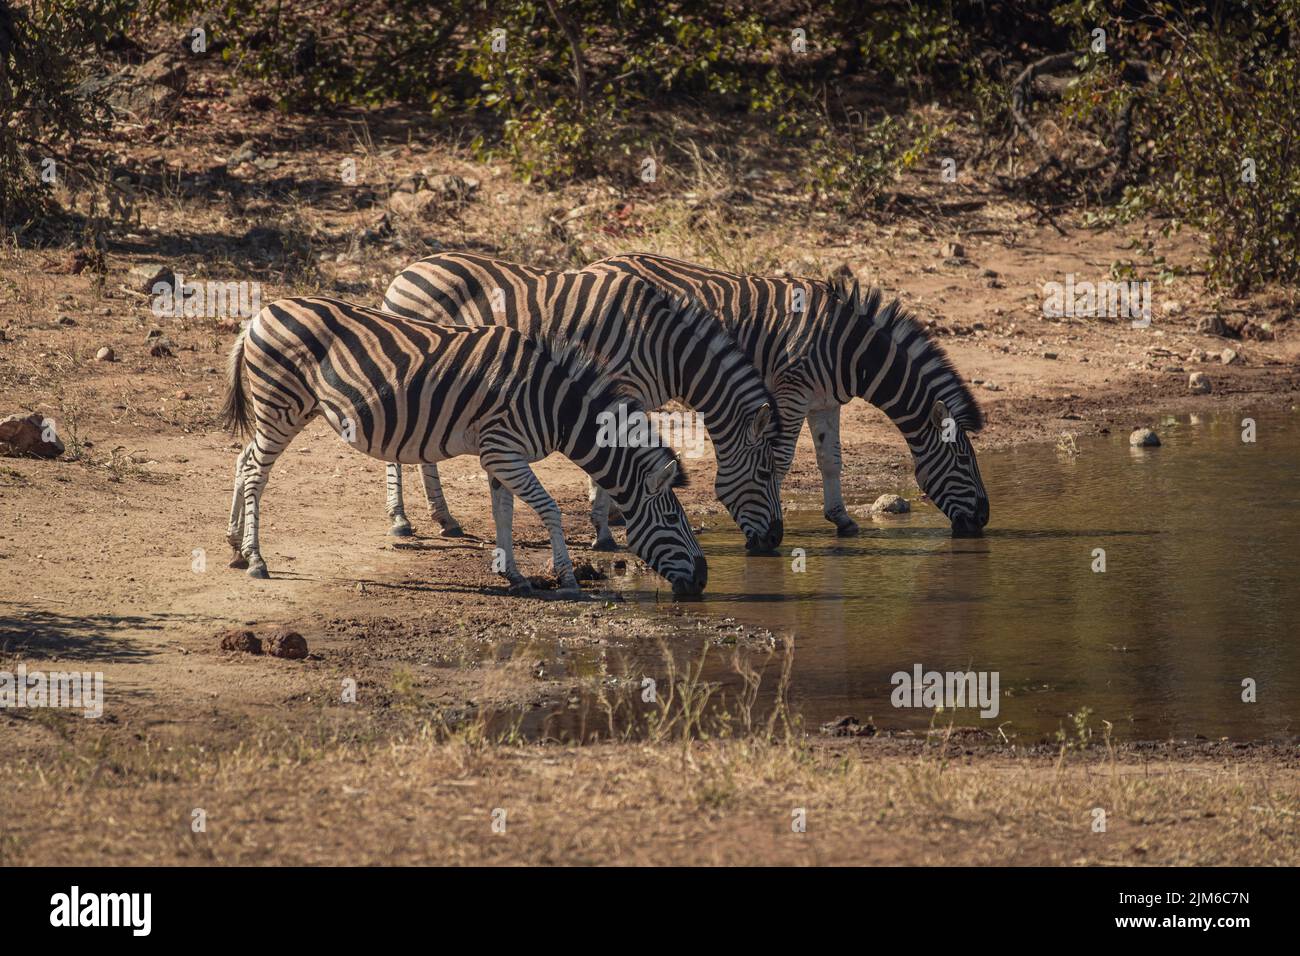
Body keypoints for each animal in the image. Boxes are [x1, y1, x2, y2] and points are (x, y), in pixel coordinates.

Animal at [219, 296, 709, 597]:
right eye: (673, 519)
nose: (703, 581)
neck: (553, 403)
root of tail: (261, 314)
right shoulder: (503, 450)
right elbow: (548, 510)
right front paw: (566, 577)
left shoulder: (498, 455)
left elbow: (503, 511)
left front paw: (514, 575)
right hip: (281, 405)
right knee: (256, 472)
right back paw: (258, 559)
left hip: (288, 410)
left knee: (244, 461)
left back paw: (235, 547)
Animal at [379, 253, 785, 553]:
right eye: (766, 474)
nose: (774, 541)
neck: (664, 347)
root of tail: (405, 271)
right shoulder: (620, 386)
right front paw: (603, 532)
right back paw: (400, 520)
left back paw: (445, 519)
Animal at [589, 254, 989, 537]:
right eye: (964, 461)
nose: (983, 519)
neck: (848, 349)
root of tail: (598, 263)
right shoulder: (792, 392)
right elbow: (780, 461)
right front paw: (773, 516)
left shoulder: (825, 402)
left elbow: (831, 459)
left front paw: (841, 518)